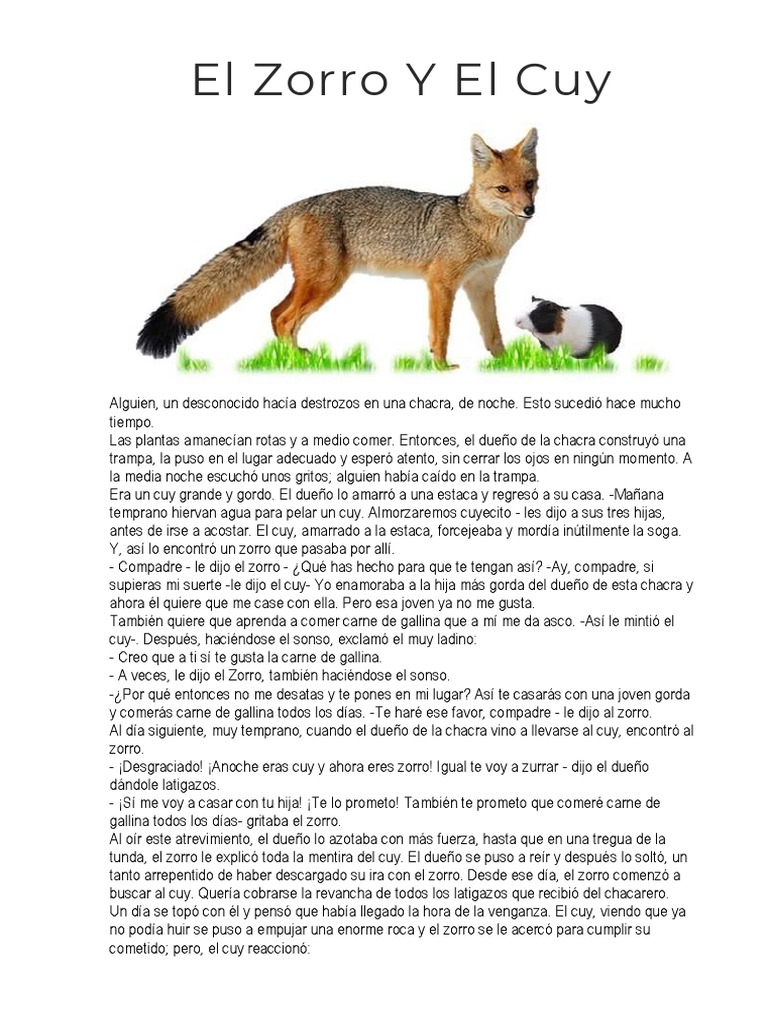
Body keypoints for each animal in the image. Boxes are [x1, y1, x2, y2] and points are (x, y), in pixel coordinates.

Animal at [137, 130, 539, 366]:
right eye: (504, 190)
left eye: (530, 184)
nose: (529, 210)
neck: (480, 227)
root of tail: (296, 205)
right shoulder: (441, 284)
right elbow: (441, 333)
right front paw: (441, 368)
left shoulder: (481, 287)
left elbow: (493, 332)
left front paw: (505, 365)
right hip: (325, 282)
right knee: (283, 318)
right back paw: (297, 365)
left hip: (317, 283)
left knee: (275, 314)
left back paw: (294, 358)